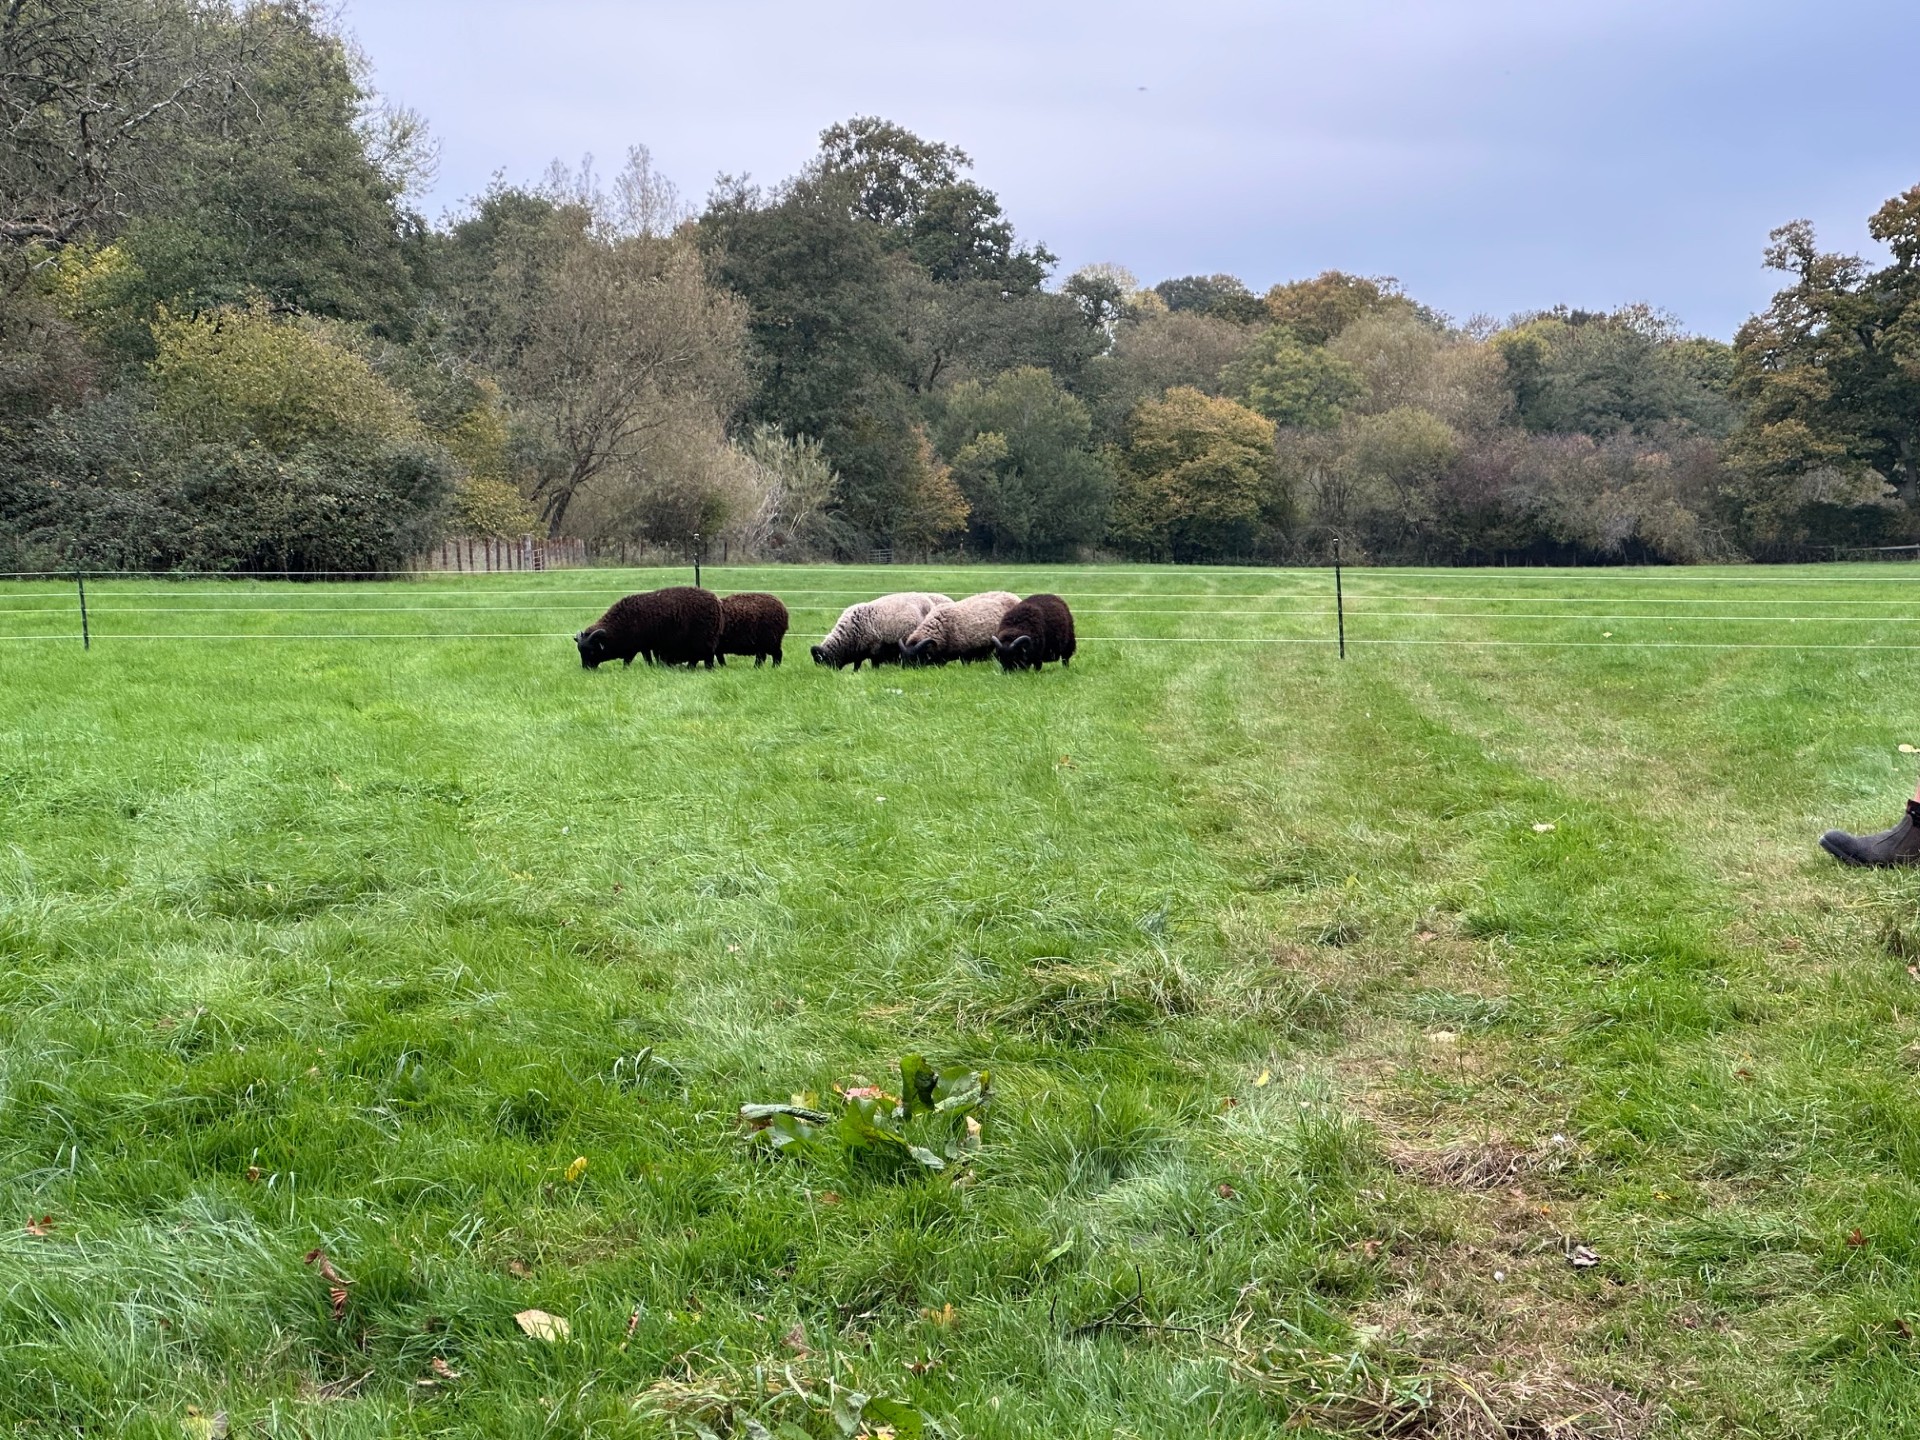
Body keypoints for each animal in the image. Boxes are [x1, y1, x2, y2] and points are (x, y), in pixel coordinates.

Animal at [574, 586, 722, 670]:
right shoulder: (642, 646)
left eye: (592, 651)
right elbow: (642, 659)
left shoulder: (638, 646)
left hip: (704, 639)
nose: (586, 669)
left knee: (706, 657)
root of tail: (716, 600)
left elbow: (632, 660)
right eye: (580, 651)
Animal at [810, 592, 954, 670]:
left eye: (822, 662)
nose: (828, 675)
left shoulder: (875, 650)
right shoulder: (860, 651)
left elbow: (873, 665)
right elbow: (857, 666)